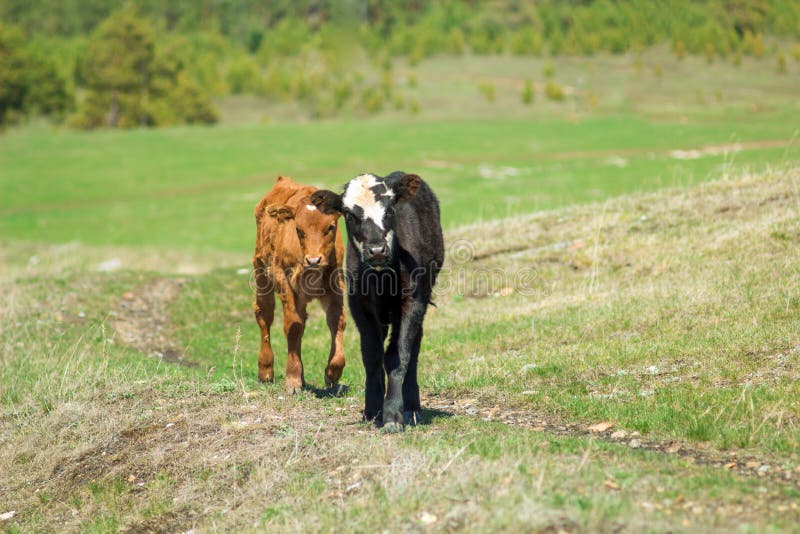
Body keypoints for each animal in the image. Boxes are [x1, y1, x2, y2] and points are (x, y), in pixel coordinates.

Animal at [252, 176, 346, 394]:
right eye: (298, 230)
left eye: (330, 227)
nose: (313, 260)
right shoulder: (284, 281)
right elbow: (292, 326)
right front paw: (293, 379)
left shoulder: (336, 285)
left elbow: (337, 322)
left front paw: (332, 372)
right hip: (262, 276)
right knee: (264, 317)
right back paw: (266, 371)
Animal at [311, 172, 444, 433]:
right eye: (349, 215)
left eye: (390, 210)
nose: (376, 250)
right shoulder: (359, 307)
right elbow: (371, 356)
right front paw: (373, 410)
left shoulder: (412, 302)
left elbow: (398, 355)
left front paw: (392, 415)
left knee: (413, 347)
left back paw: (412, 407)